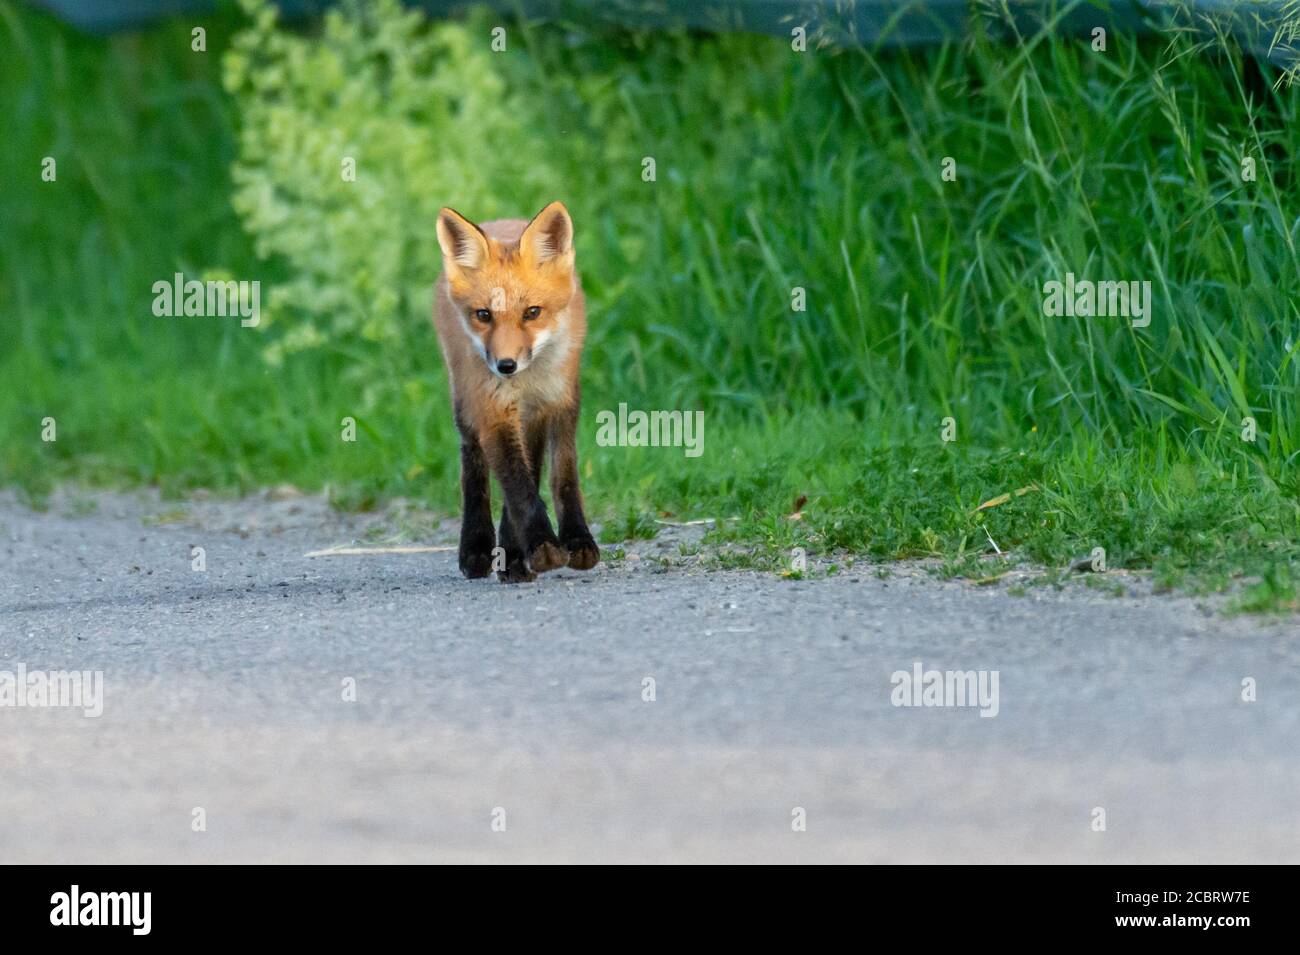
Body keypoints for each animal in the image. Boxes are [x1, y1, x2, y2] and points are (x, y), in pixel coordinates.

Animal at [433, 200, 600, 583]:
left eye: (532, 312)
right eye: (483, 315)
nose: (505, 366)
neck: (528, 381)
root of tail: (500, 221)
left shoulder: (551, 405)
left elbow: (551, 478)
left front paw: (562, 543)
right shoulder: (493, 411)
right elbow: (518, 486)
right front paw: (539, 547)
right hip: (464, 400)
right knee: (474, 467)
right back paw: (476, 548)